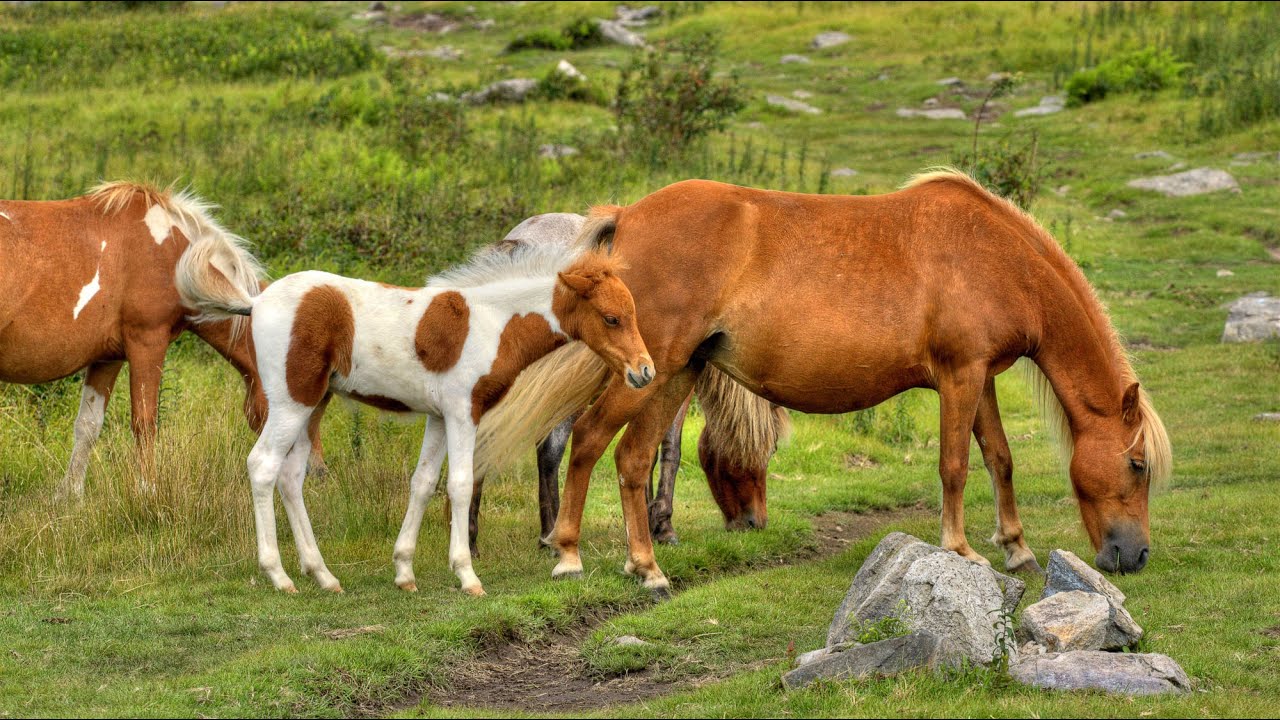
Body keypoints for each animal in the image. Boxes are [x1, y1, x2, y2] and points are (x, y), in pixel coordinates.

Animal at [0, 182, 322, 496]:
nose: (318, 470)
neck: (175, 257)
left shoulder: (107, 358)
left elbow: (88, 426)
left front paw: (70, 494)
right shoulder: (148, 342)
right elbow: (145, 421)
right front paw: (148, 490)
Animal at [175, 237, 654, 596]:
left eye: (633, 313)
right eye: (611, 318)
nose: (644, 371)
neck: (494, 322)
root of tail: (257, 302)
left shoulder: (439, 417)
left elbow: (422, 483)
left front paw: (404, 571)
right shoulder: (463, 411)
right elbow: (459, 484)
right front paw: (467, 575)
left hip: (314, 404)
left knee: (291, 477)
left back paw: (324, 576)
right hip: (291, 401)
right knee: (263, 467)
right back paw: (279, 576)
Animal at [465, 214, 789, 556]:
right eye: (771, 450)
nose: (755, 522)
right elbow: (668, 451)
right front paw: (661, 525)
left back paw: (475, 541)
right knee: (549, 454)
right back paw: (549, 534)